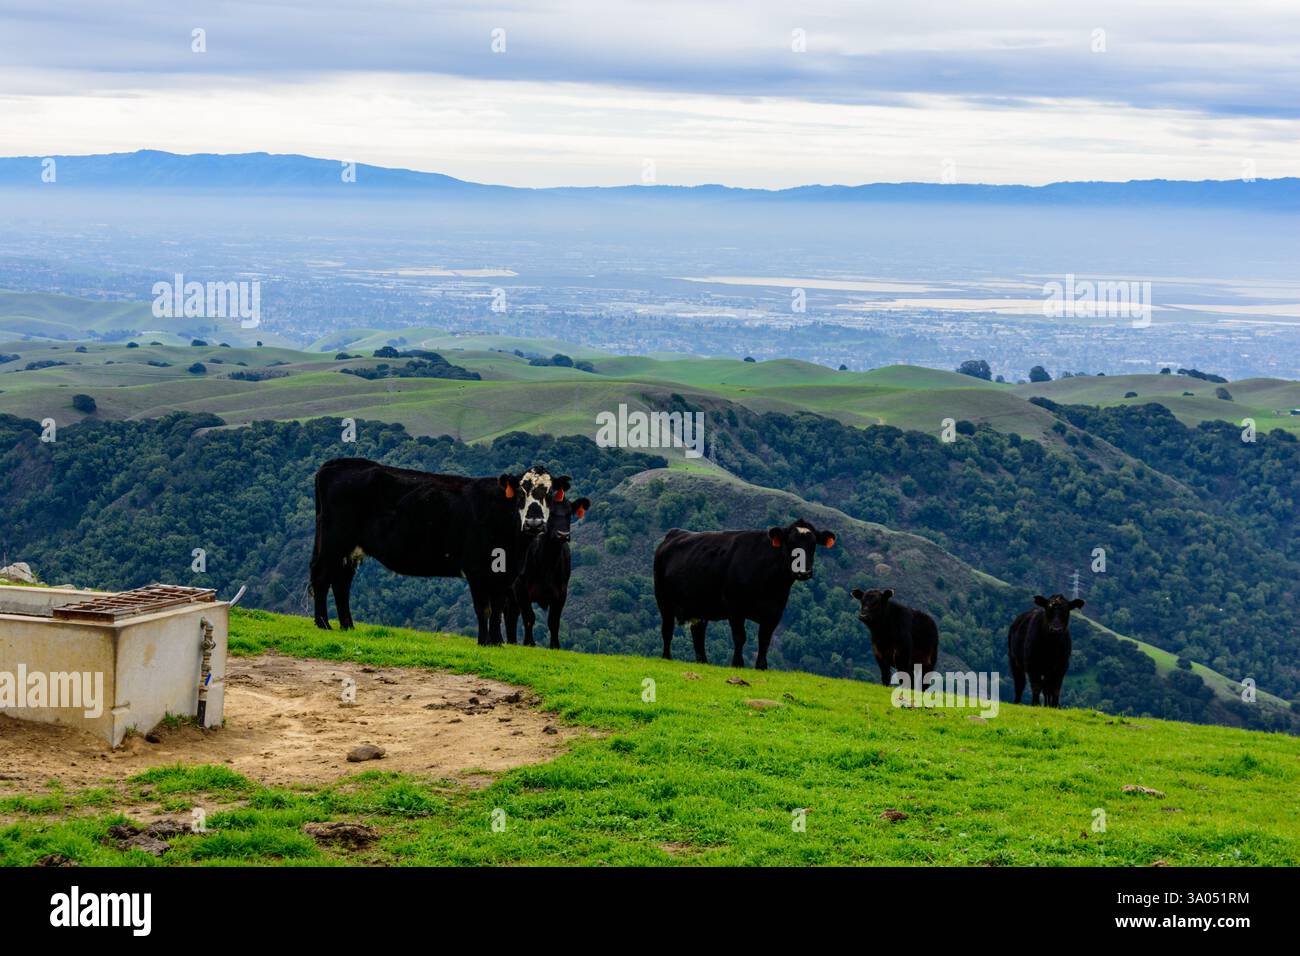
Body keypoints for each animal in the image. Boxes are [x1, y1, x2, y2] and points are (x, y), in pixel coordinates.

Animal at [310, 458, 563, 645]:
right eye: (521, 493)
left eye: (550, 494)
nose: (534, 523)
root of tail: (335, 464)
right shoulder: (477, 569)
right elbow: (484, 609)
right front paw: (484, 642)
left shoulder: (504, 574)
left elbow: (498, 609)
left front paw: (497, 642)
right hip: (334, 542)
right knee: (322, 576)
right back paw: (323, 624)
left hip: (348, 549)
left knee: (341, 582)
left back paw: (347, 626)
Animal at [504, 481, 591, 649]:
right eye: (550, 513)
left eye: (569, 514)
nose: (562, 535)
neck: (547, 563)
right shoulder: (520, 588)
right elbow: (529, 617)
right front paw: (529, 643)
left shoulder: (561, 592)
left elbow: (554, 622)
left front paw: (555, 646)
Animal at [653, 519, 836, 669]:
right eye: (790, 543)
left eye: (813, 545)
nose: (803, 572)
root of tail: (674, 533)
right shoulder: (735, 607)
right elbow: (740, 636)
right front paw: (737, 664)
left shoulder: (774, 612)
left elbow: (764, 639)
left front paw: (761, 666)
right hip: (663, 600)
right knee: (667, 629)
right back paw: (667, 657)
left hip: (700, 605)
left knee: (698, 633)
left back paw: (703, 661)